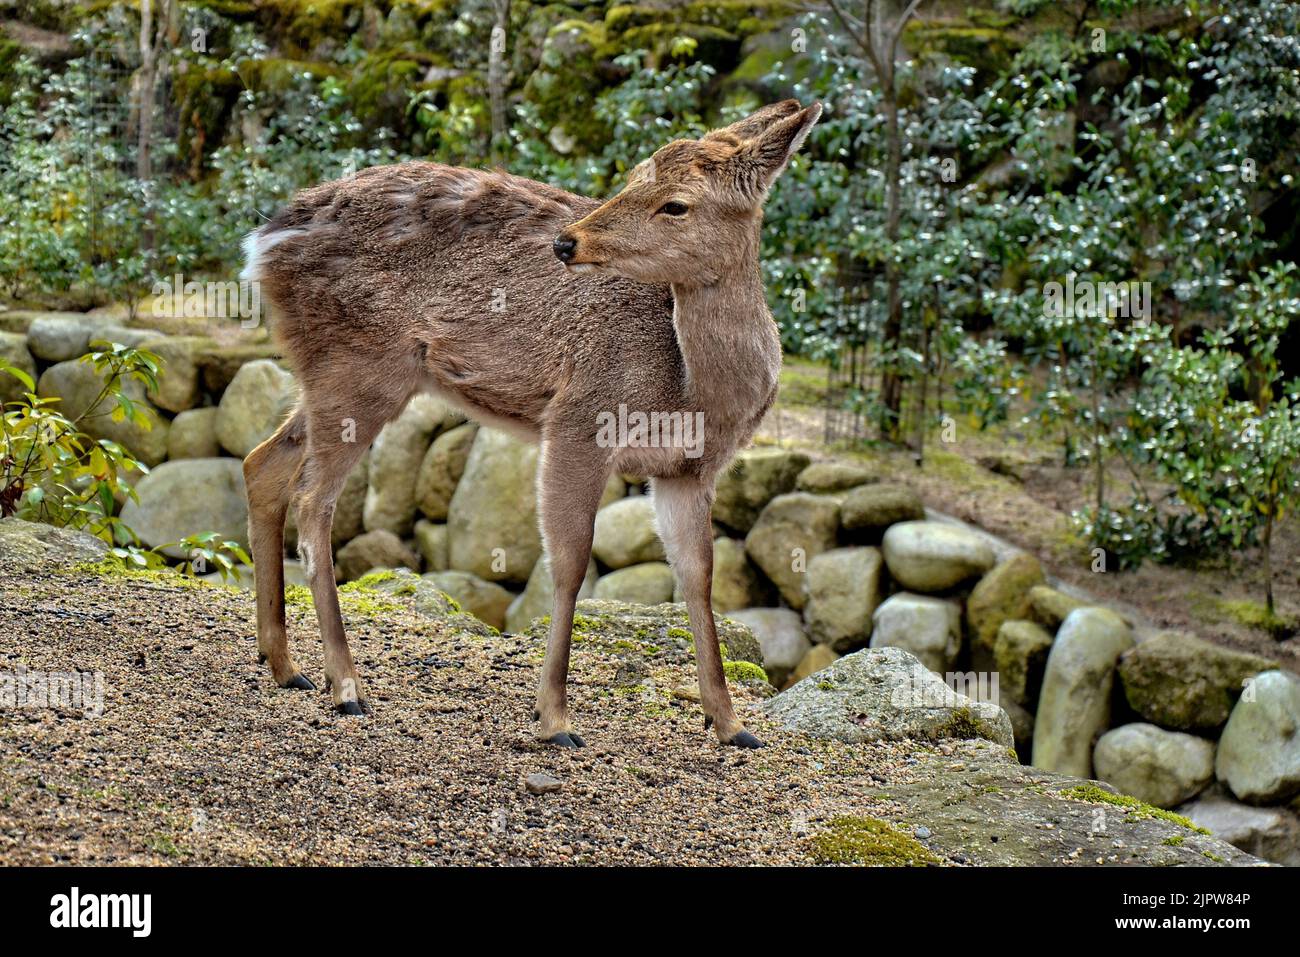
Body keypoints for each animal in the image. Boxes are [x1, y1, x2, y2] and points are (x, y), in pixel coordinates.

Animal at [240, 99, 822, 749]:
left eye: (677, 203)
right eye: (632, 177)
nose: (568, 242)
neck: (694, 394)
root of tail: (263, 242)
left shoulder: (689, 469)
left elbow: (699, 576)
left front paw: (730, 723)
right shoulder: (579, 419)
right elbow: (569, 564)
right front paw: (554, 718)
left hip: (332, 373)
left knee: (263, 463)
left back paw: (285, 666)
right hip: (358, 367)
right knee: (312, 499)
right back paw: (346, 685)